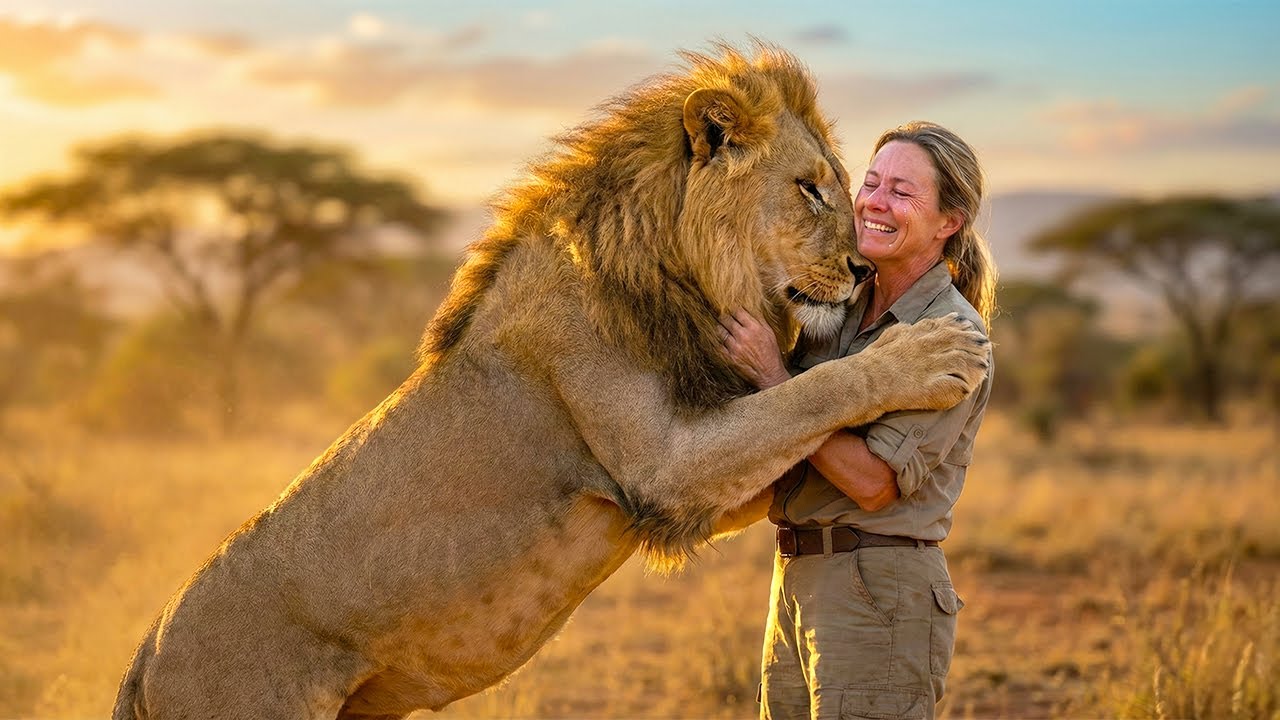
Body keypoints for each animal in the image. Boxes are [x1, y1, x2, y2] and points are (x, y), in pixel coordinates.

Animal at [113, 44, 989, 719]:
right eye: (810, 188)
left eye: (861, 190)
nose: (863, 268)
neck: (677, 270)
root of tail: (146, 658)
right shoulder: (664, 471)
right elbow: (814, 391)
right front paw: (938, 350)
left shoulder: (692, 485)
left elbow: (802, 417)